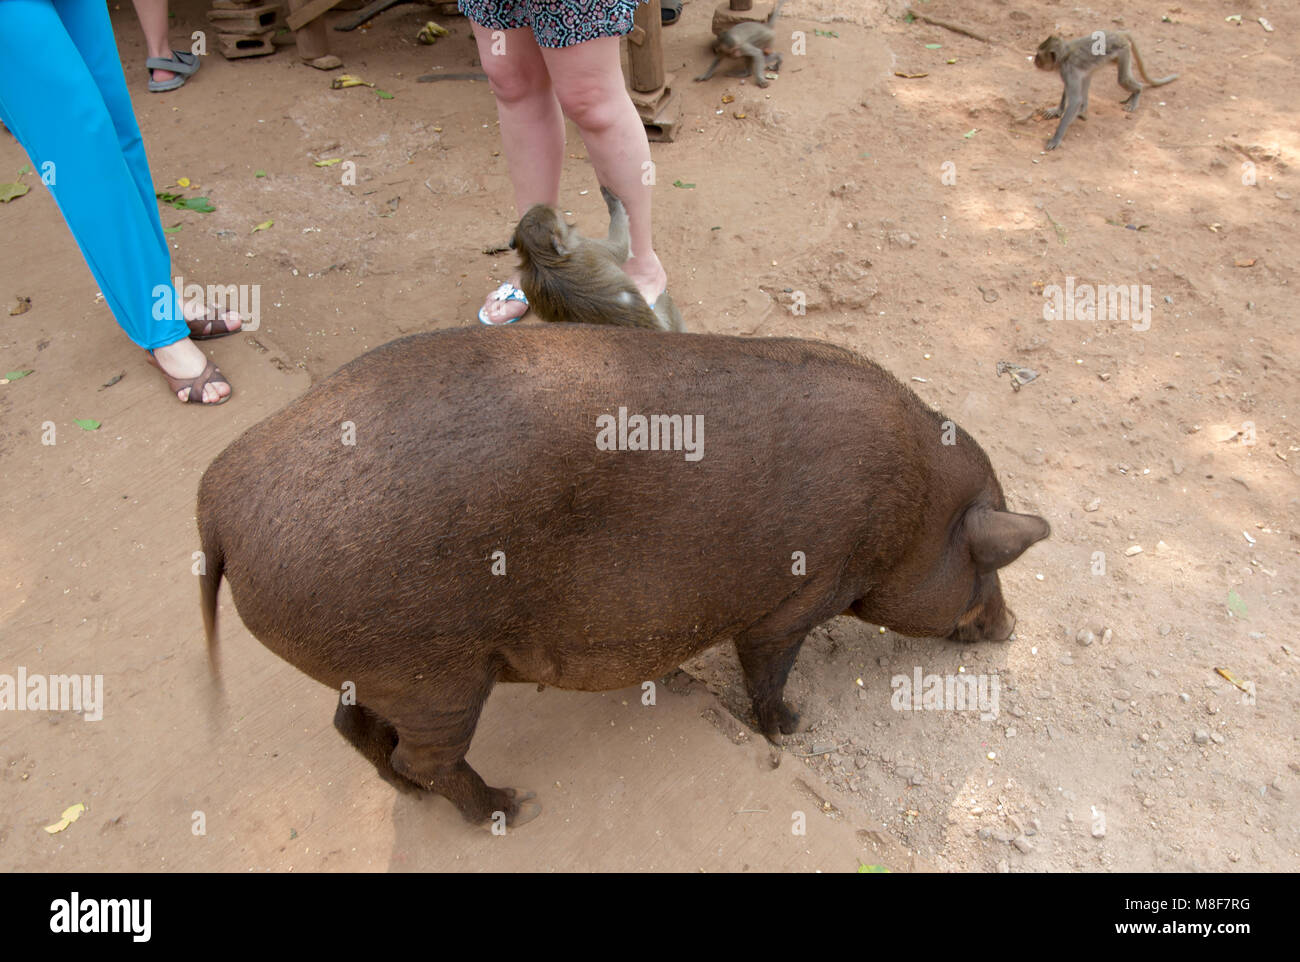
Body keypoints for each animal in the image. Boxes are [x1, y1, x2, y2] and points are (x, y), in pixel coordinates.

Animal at [198, 325, 1049, 827]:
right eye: (989, 562)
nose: (1011, 629)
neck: (913, 515)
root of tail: (218, 501)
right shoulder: (791, 601)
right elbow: (767, 674)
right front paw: (797, 726)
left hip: (380, 669)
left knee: (356, 730)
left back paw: (416, 795)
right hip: (431, 674)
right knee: (419, 754)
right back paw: (514, 808)